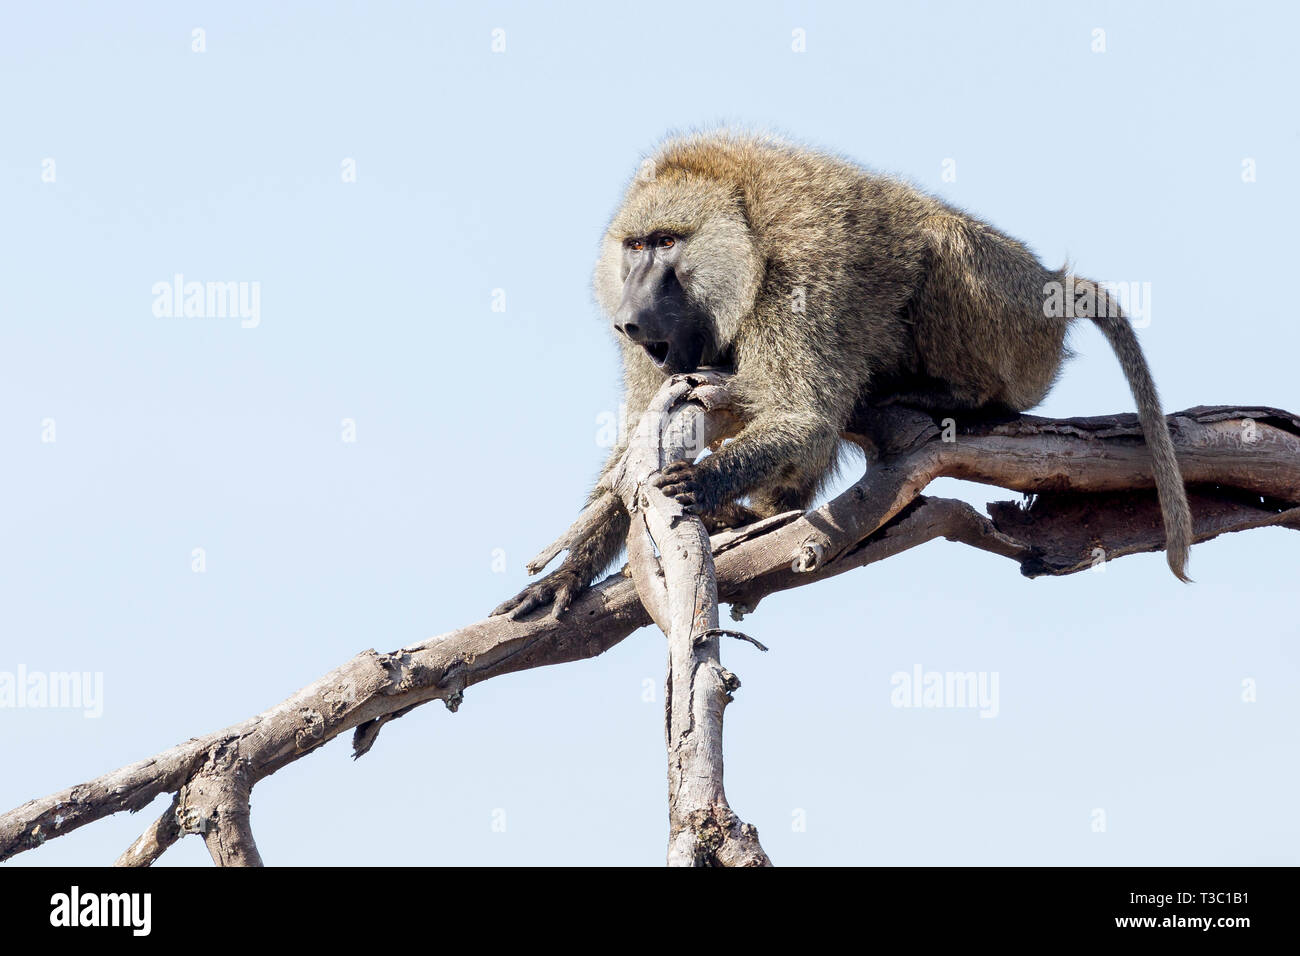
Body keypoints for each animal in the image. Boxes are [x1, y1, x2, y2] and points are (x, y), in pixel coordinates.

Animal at [491, 131, 1192, 620]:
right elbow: (636, 447)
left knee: (944, 246)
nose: (630, 321)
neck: (743, 227)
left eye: (668, 243)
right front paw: (564, 575)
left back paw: (951, 399)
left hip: (1014, 321)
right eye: (634, 246)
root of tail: (1053, 284)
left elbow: (803, 416)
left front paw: (698, 482)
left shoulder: (800, 276)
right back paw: (760, 514)